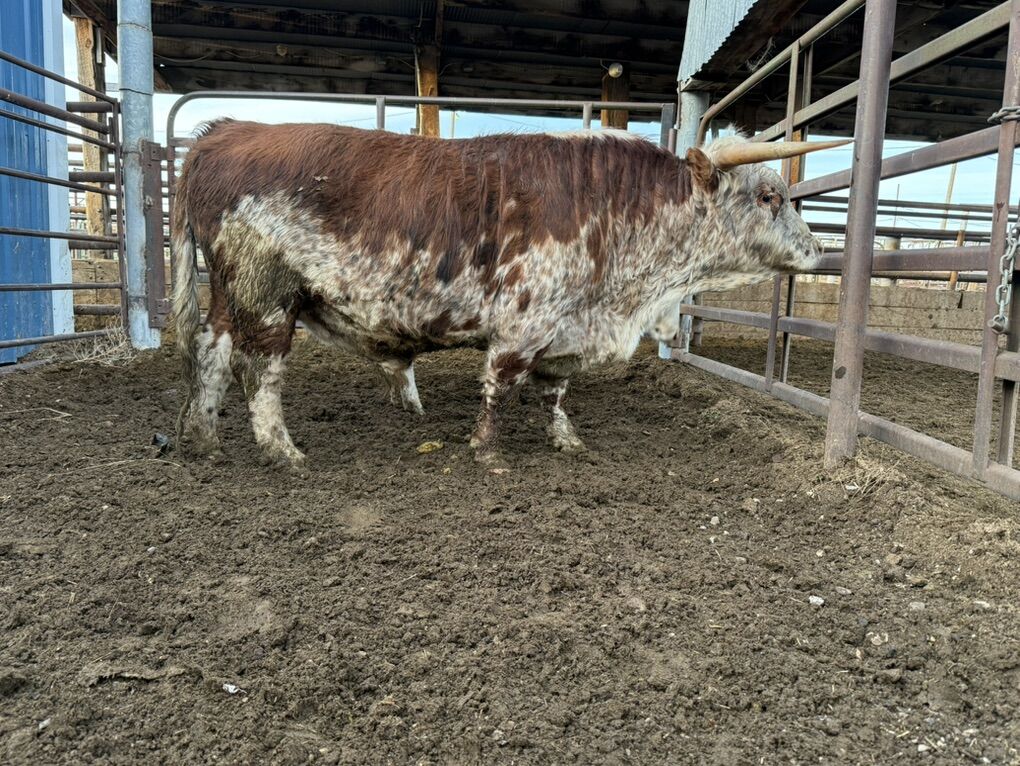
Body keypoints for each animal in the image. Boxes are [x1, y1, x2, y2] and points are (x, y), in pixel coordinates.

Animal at [171, 120, 845, 470]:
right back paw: (281, 449)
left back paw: (202, 438)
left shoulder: (566, 333)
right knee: (261, 373)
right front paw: (488, 451)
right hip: (267, 296)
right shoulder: (524, 323)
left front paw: (565, 438)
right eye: (769, 196)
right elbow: (502, 385)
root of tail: (226, 132)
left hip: (228, 297)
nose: (819, 249)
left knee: (210, 352)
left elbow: (555, 391)